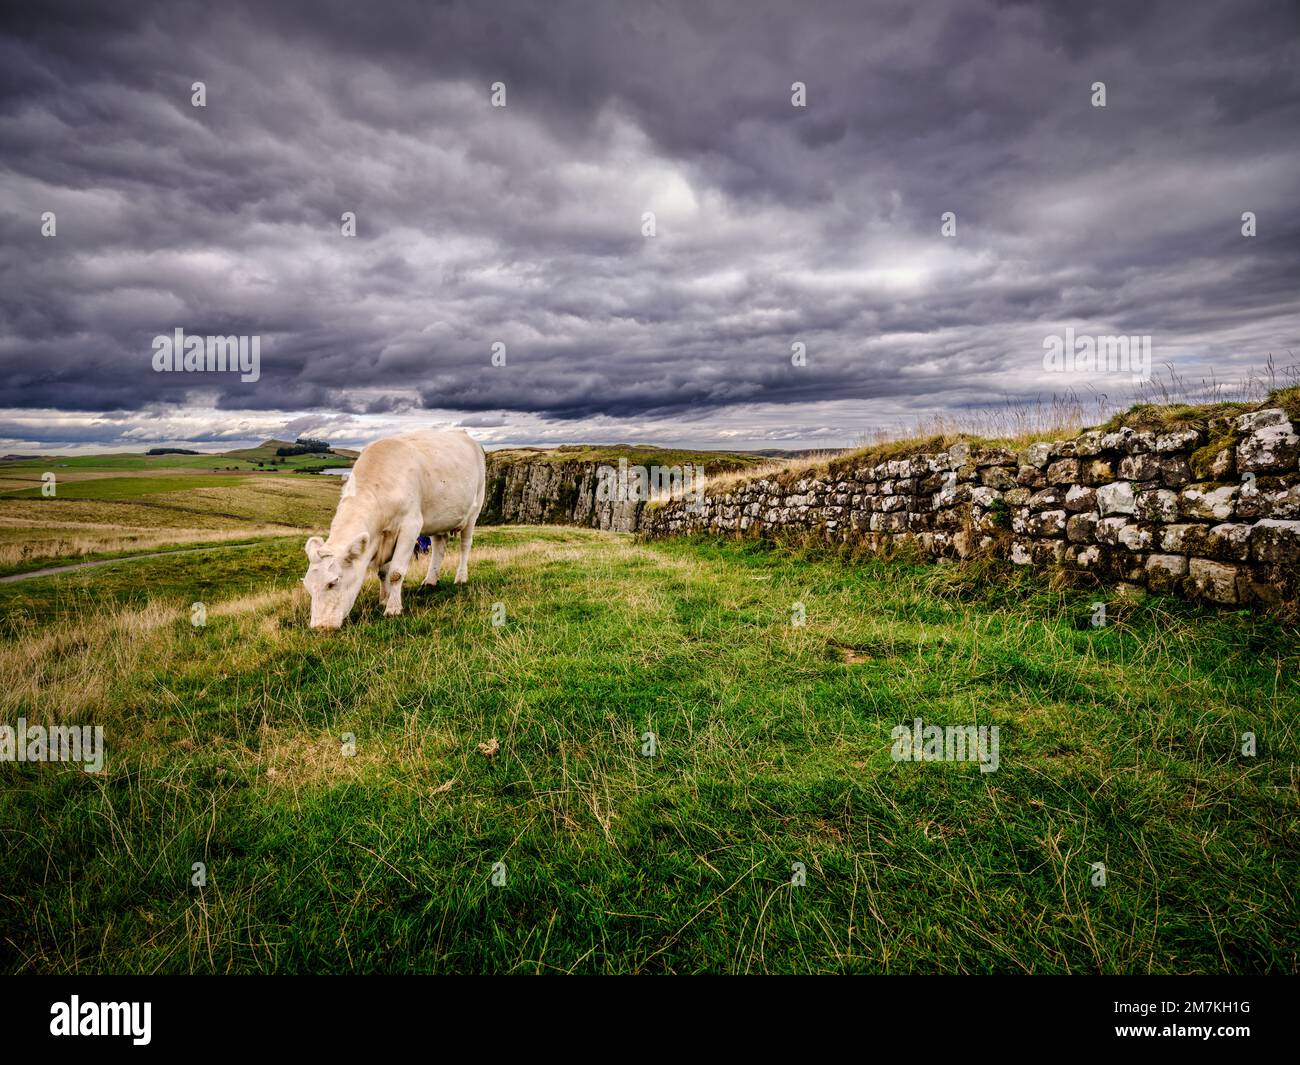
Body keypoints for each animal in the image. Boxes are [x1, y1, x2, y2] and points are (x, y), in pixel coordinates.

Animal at [302, 429, 486, 629]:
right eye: (308, 586)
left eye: (333, 582)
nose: (320, 627)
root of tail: (465, 435)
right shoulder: (384, 536)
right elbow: (383, 572)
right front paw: (384, 599)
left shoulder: (410, 526)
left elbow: (396, 573)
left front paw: (393, 608)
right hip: (440, 517)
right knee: (439, 545)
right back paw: (430, 580)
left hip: (474, 510)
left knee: (465, 546)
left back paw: (461, 577)